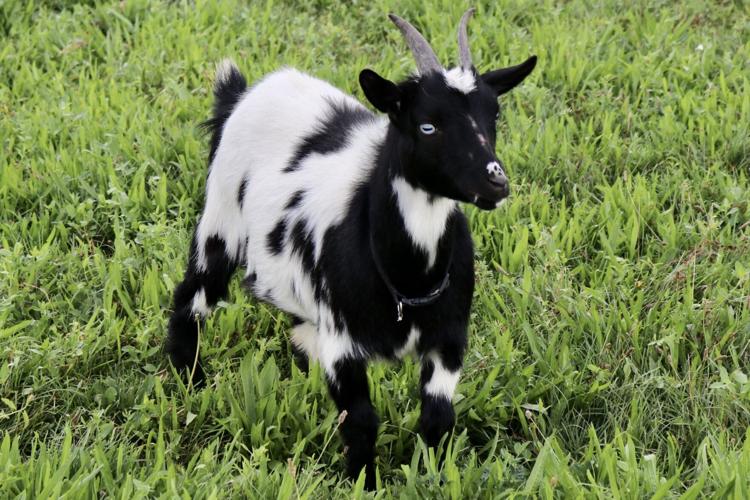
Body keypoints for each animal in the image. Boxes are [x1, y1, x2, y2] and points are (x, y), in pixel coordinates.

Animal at [166, 9, 536, 488]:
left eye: (494, 115)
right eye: (427, 125)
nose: (496, 182)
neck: (408, 280)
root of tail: (245, 92)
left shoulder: (449, 341)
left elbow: (438, 418)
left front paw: (433, 474)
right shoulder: (343, 344)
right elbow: (361, 421)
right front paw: (365, 481)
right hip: (220, 217)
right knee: (193, 297)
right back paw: (189, 380)